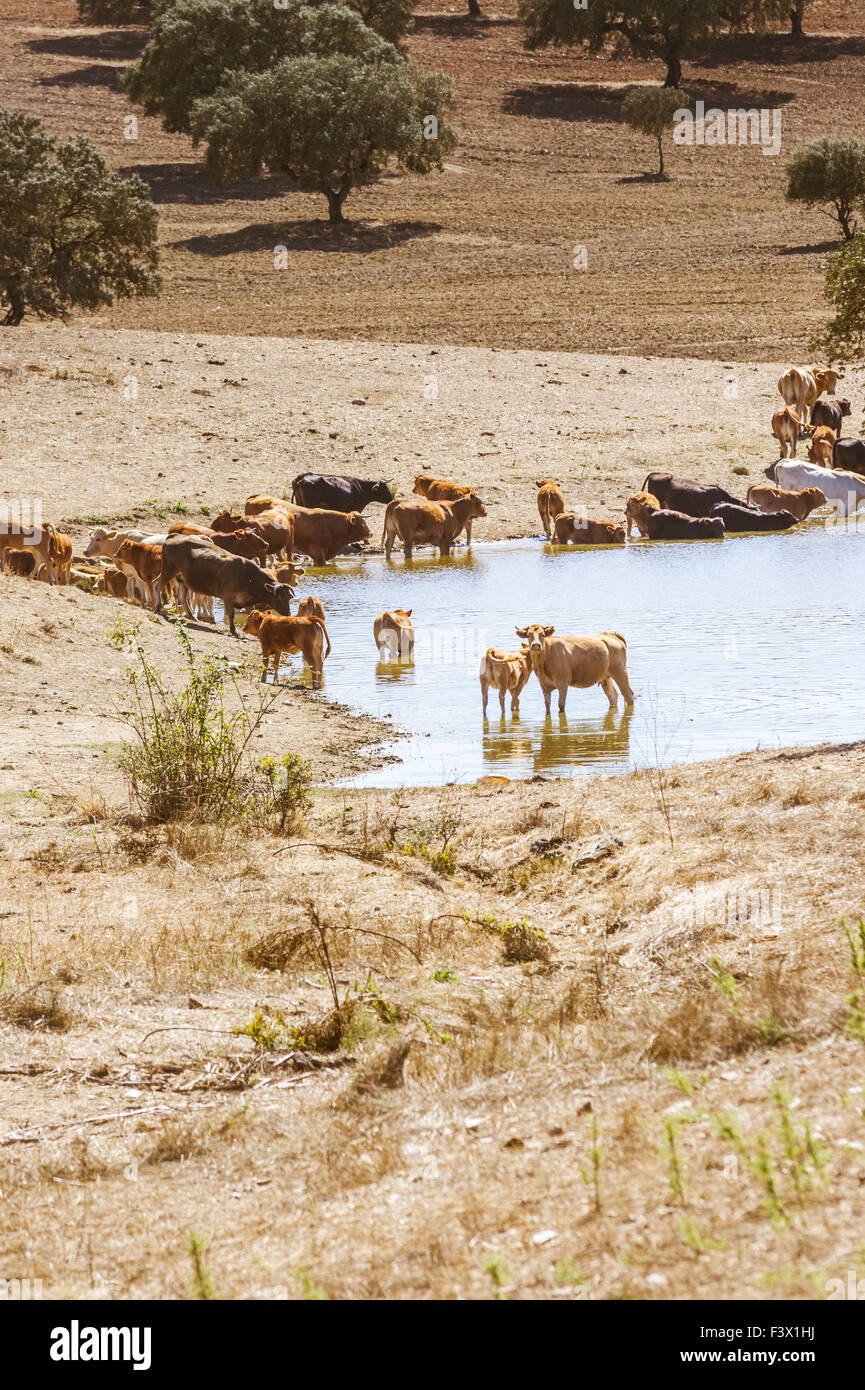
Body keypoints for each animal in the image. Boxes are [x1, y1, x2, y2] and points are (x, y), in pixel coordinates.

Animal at [159, 535, 294, 635]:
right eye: (280, 597)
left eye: (289, 597)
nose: (288, 614)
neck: (248, 577)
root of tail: (173, 537)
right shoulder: (228, 598)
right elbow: (231, 614)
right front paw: (233, 631)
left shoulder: (247, 601)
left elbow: (250, 613)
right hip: (168, 571)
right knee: (157, 584)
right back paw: (158, 607)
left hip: (182, 579)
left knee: (182, 596)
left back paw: (192, 617)